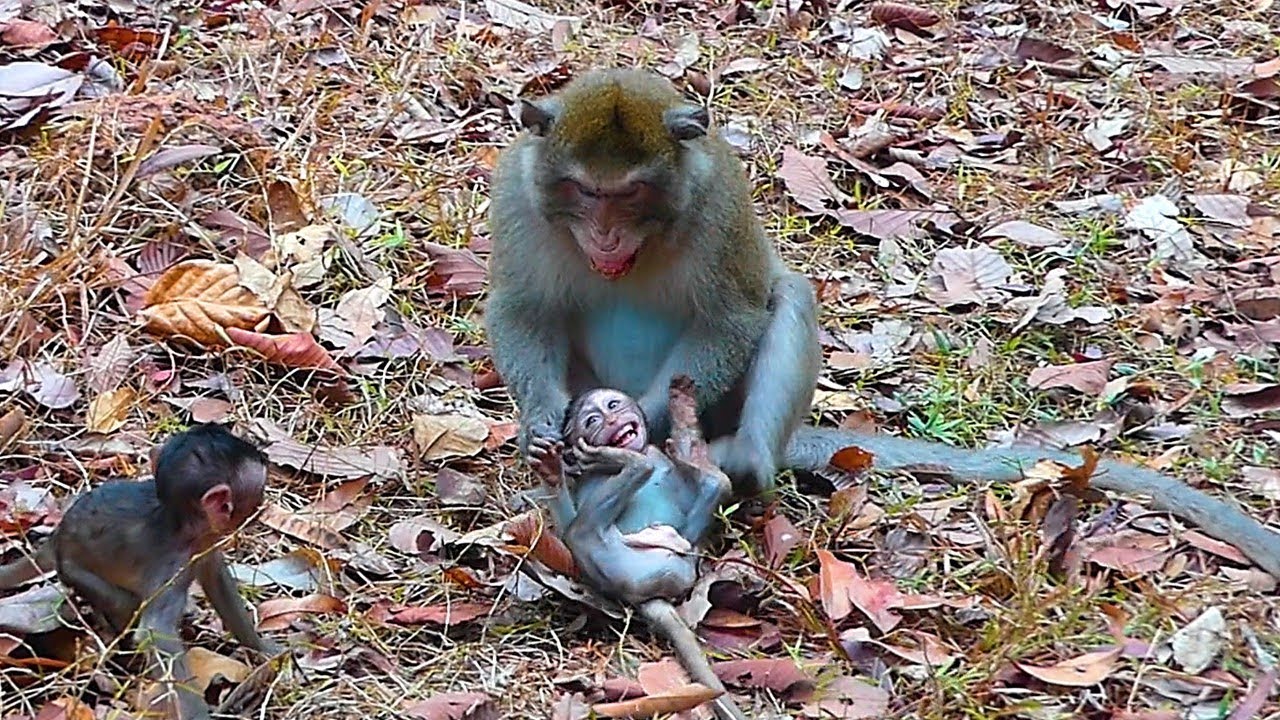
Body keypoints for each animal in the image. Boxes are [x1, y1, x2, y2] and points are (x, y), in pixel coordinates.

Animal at [0, 423, 280, 720]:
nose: (261, 505)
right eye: (260, 490)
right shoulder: (171, 565)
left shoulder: (204, 546)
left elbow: (216, 579)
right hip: (74, 569)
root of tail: (58, 537)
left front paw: (264, 649)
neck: (181, 526)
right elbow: (155, 631)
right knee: (125, 603)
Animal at [483, 67, 1280, 582]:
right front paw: (546, 423)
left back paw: (734, 459)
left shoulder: (716, 205)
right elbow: (521, 309)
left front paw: (641, 423)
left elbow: (734, 312)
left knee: (788, 300)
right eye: (585, 191)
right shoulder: (518, 197)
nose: (607, 237)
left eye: (632, 193)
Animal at [529, 379, 747, 720]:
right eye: (592, 420)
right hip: (620, 567)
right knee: (582, 532)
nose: (610, 420)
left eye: (613, 405)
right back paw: (632, 465)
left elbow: (691, 524)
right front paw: (552, 470)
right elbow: (566, 531)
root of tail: (648, 597)